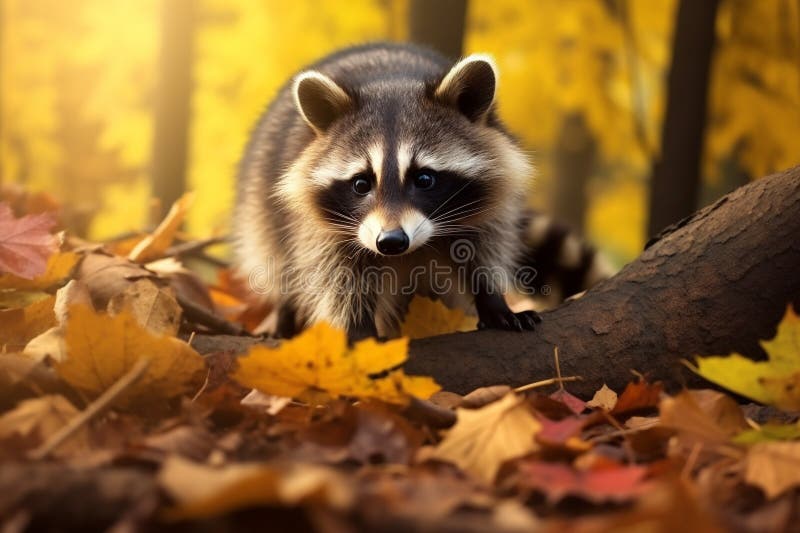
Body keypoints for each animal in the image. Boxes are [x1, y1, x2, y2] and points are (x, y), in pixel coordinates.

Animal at [233, 43, 609, 340]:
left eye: (424, 179)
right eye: (361, 184)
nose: (390, 241)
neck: (392, 80)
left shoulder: (488, 203)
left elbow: (485, 249)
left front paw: (491, 298)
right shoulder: (320, 227)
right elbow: (335, 276)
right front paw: (358, 328)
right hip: (260, 208)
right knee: (281, 262)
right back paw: (285, 314)